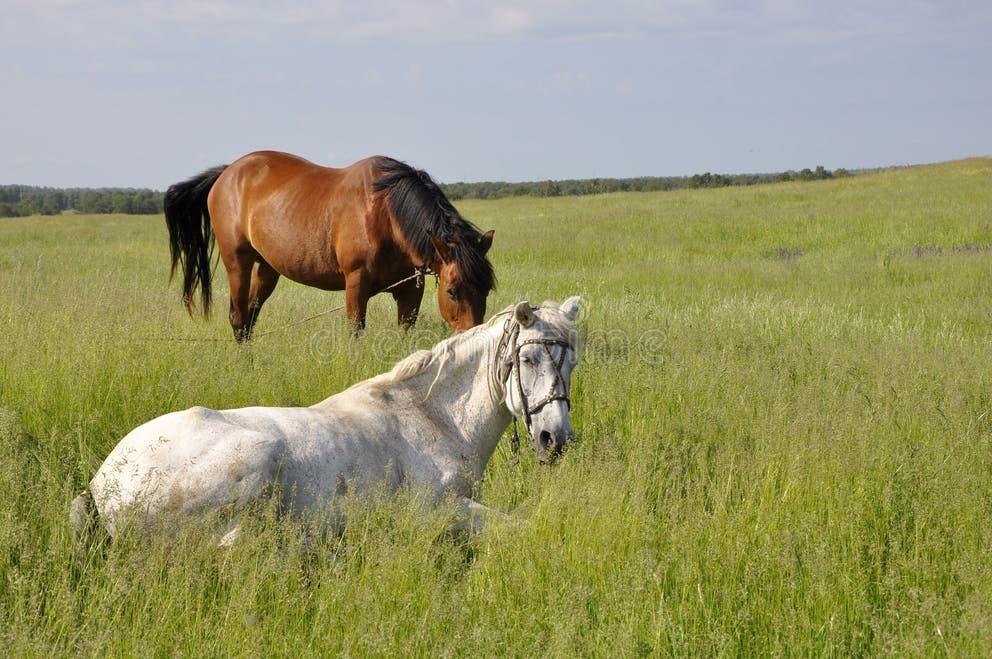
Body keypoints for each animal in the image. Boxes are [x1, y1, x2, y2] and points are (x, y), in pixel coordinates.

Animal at [70, 297, 582, 543]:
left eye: (573, 363)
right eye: (529, 358)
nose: (555, 439)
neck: (435, 416)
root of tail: (102, 484)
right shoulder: (436, 512)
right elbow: (518, 527)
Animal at [164, 151, 496, 342]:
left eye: (486, 289)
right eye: (452, 291)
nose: (475, 339)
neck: (385, 212)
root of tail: (227, 172)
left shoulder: (409, 290)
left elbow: (405, 333)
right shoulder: (356, 283)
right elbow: (355, 334)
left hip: (266, 268)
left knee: (249, 320)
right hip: (238, 263)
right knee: (238, 319)